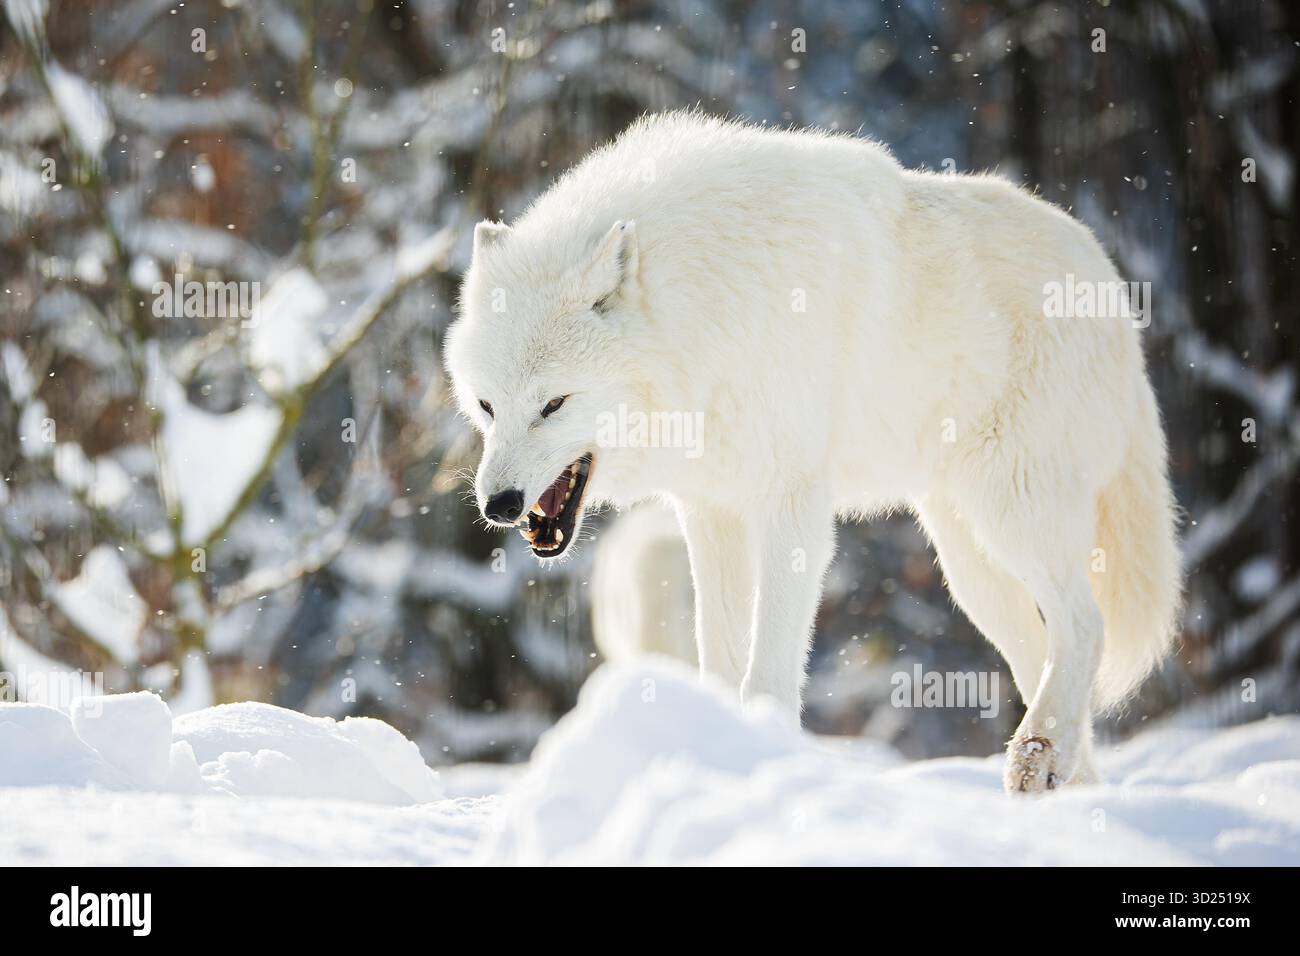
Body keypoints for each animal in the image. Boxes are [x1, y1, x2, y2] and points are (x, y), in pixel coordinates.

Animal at [443, 111, 1181, 792]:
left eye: (553, 405)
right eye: (487, 406)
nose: (499, 504)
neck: (704, 315)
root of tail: (1111, 282)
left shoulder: (790, 509)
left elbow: (767, 674)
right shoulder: (710, 511)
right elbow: (719, 659)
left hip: (1014, 514)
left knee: (1086, 625)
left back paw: (1039, 755)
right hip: (968, 565)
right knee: (1044, 646)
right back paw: (1067, 787)